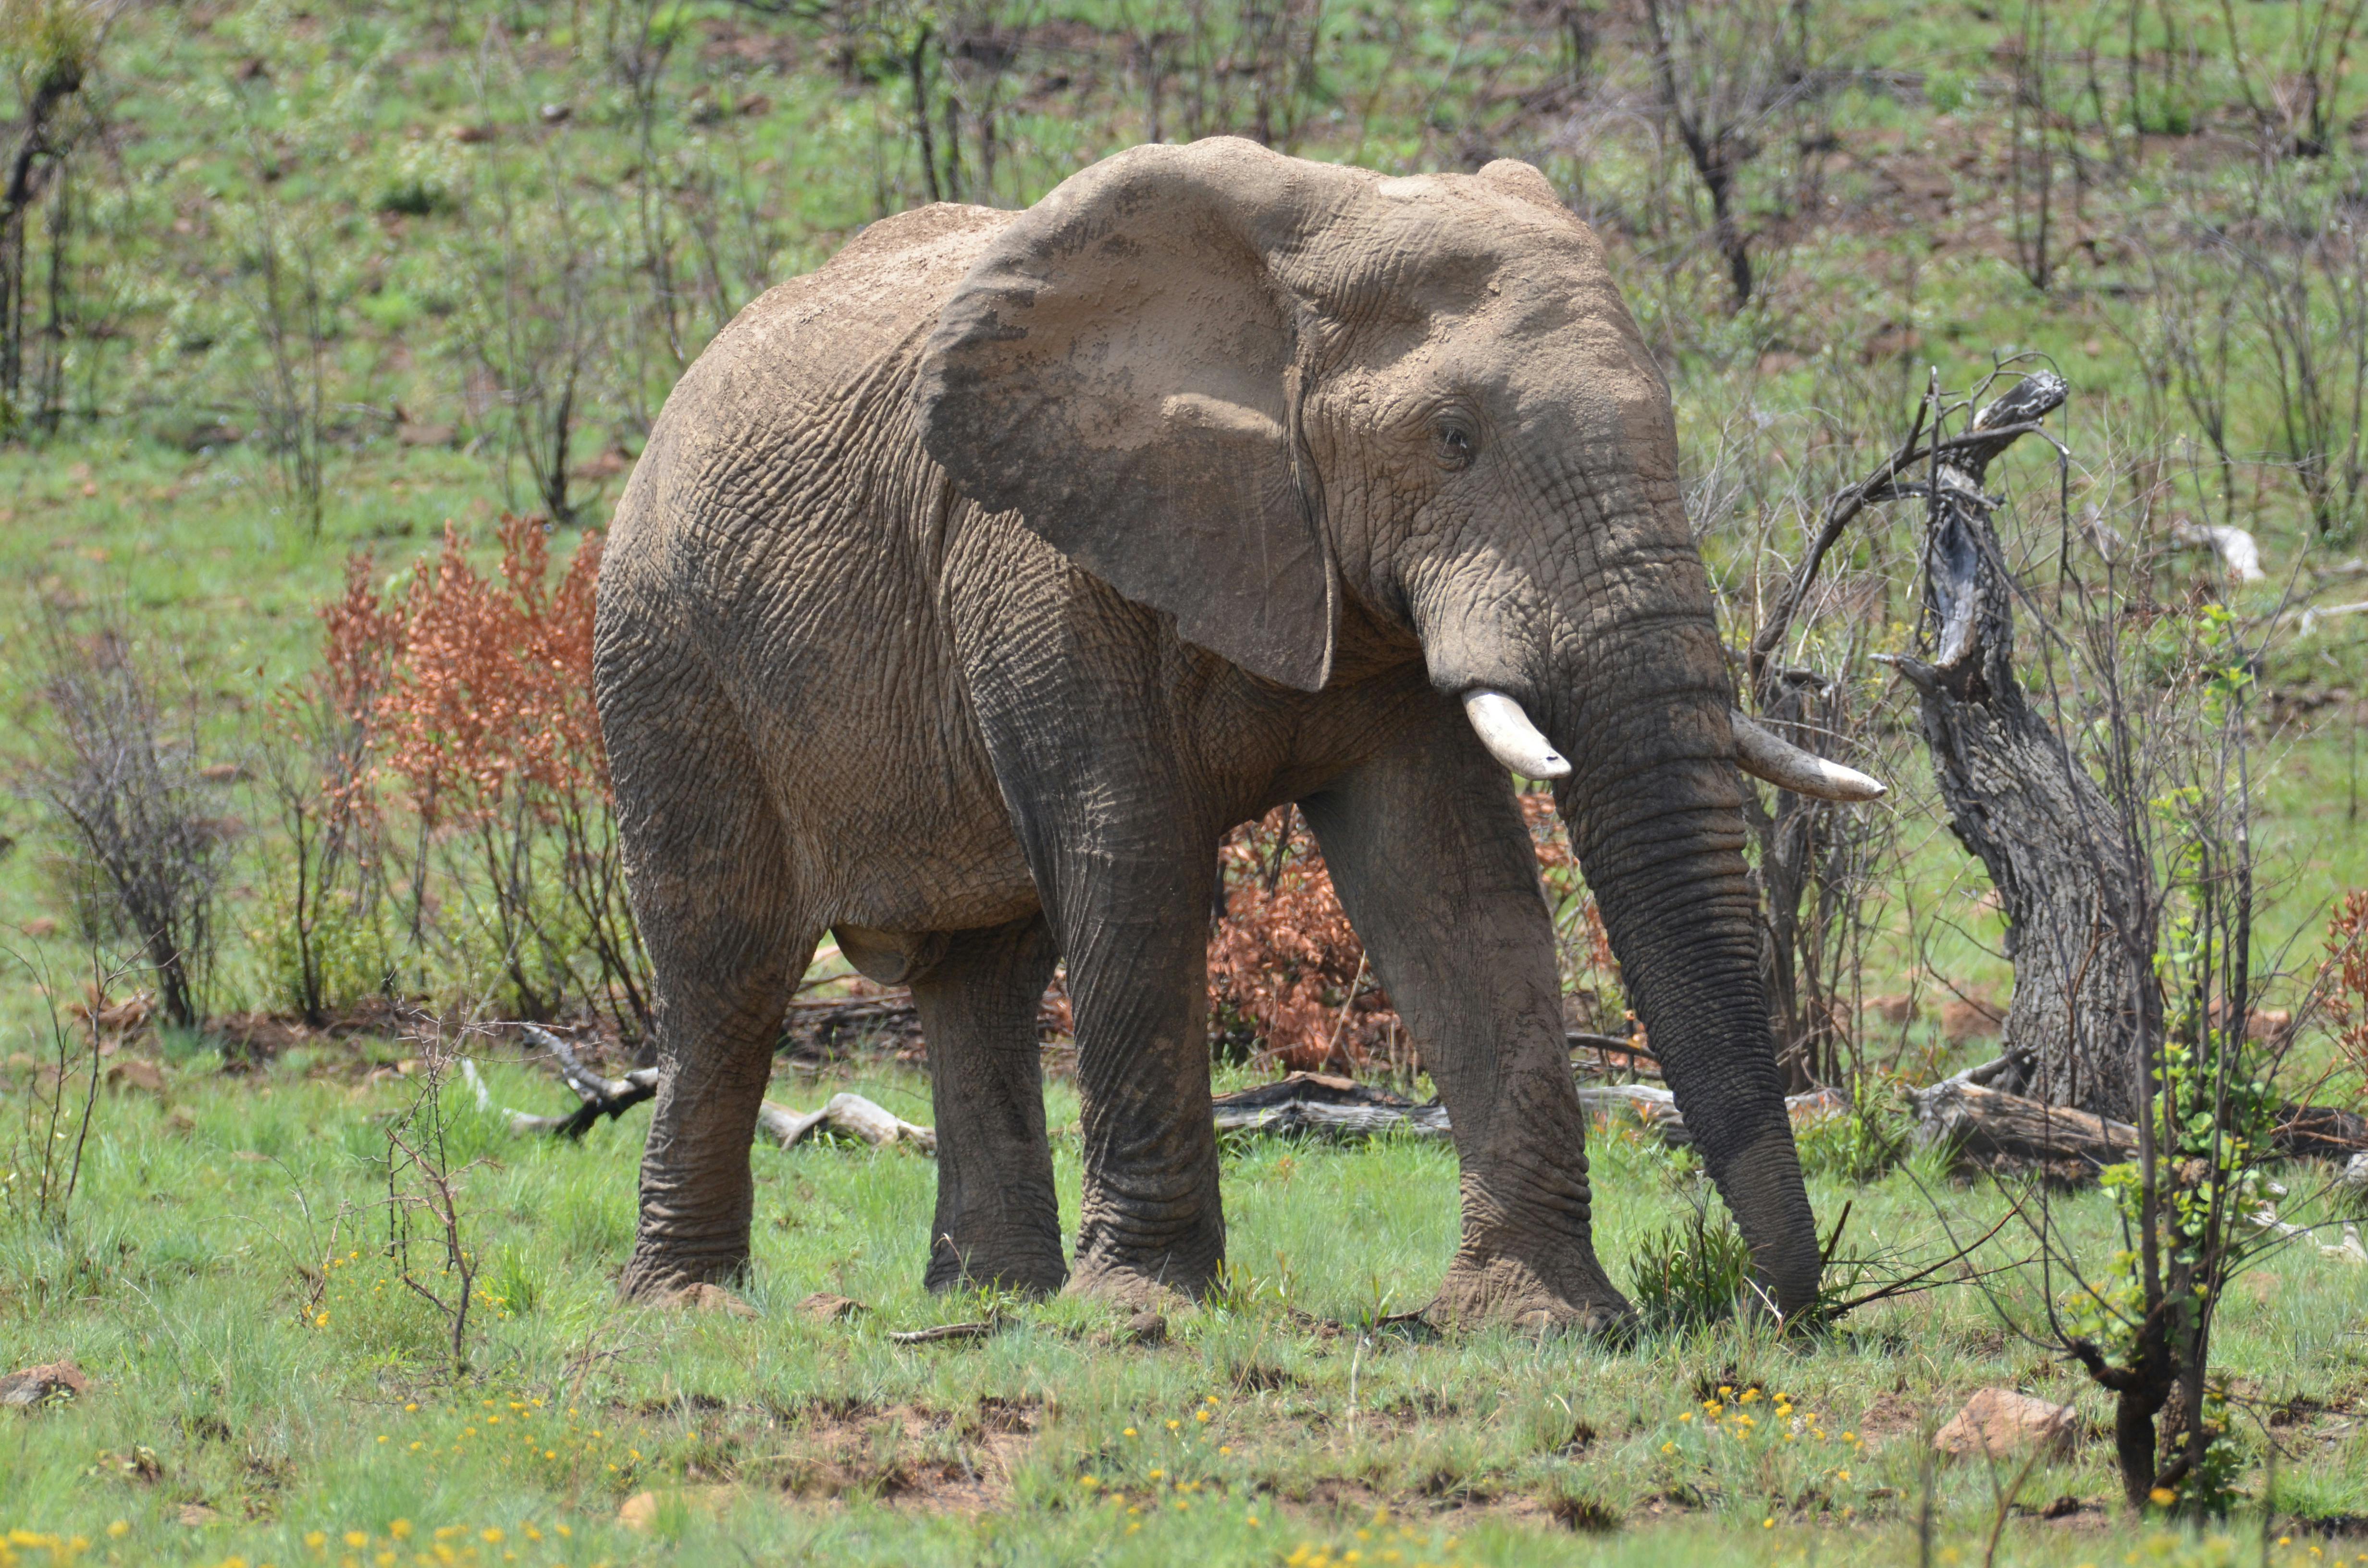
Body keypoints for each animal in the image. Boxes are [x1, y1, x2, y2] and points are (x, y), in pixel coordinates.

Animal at [592, 136, 1879, 1328]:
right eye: (1454, 436)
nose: (1764, 1305)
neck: (1311, 248)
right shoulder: (1044, 559)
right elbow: (1134, 862)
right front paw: (1143, 1312)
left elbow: (1452, 884)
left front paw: (1543, 1319)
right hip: (666, 650)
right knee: (729, 968)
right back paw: (689, 1304)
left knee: (983, 980)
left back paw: (995, 1300)